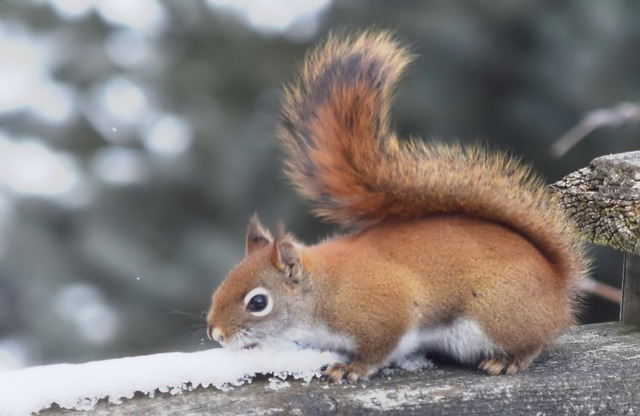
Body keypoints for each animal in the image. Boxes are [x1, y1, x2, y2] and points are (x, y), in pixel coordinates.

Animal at [206, 30, 588, 382]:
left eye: (258, 302)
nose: (215, 333)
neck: (324, 291)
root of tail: (558, 286)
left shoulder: (386, 310)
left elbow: (379, 348)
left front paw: (352, 368)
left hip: (499, 316)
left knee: (533, 342)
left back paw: (509, 359)